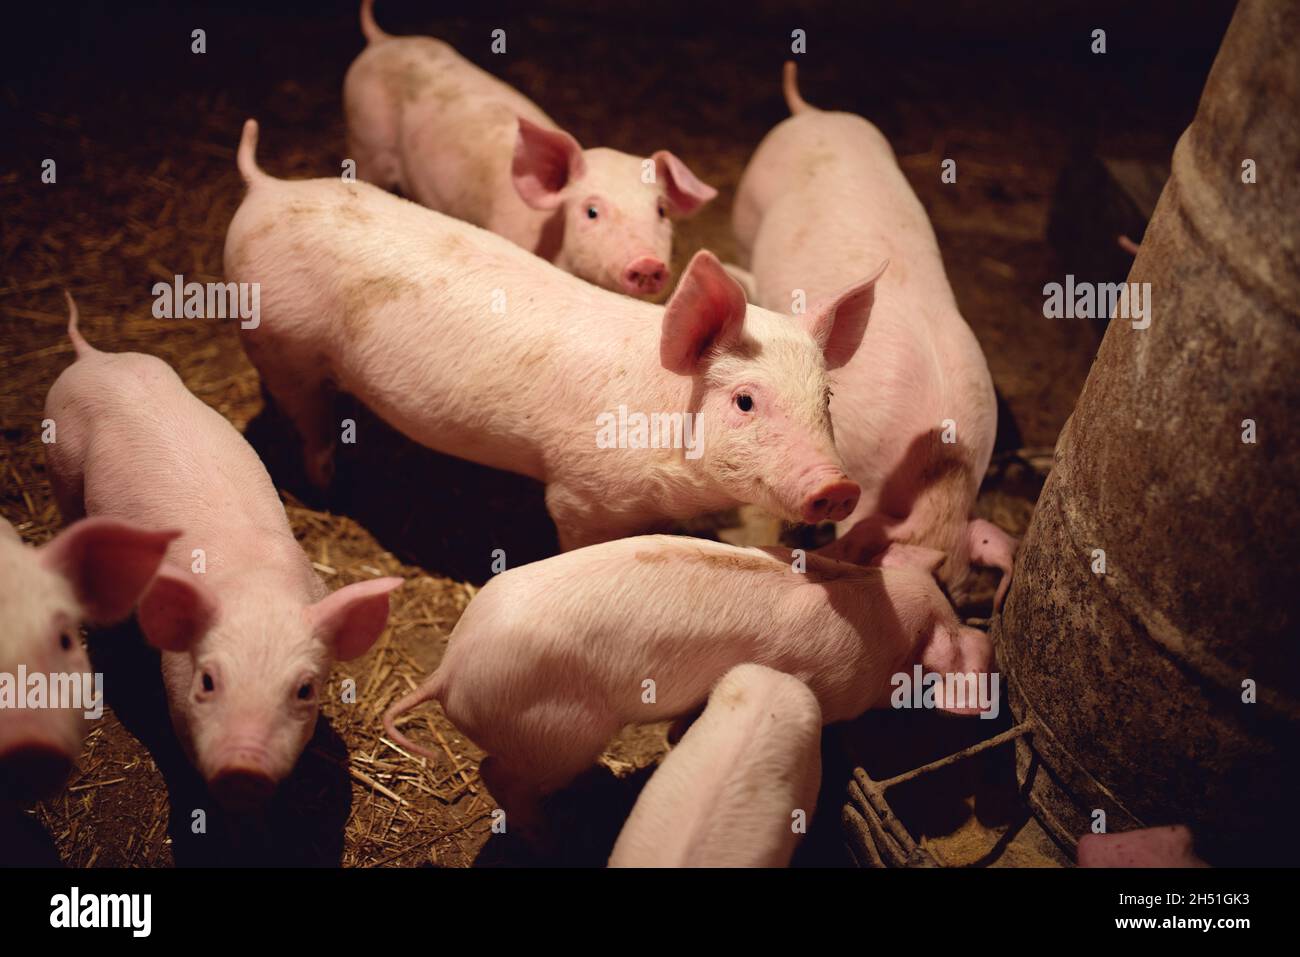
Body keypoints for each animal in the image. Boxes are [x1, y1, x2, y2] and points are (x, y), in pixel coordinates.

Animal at [43, 295, 402, 810]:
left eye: (304, 690)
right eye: (208, 681)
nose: (243, 771)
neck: (256, 586)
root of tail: (89, 357)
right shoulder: (174, 677)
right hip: (60, 469)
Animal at [226, 119, 871, 551]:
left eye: (827, 398)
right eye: (745, 401)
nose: (839, 486)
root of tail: (266, 188)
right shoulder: (577, 495)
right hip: (280, 341)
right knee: (307, 419)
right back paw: (328, 486)